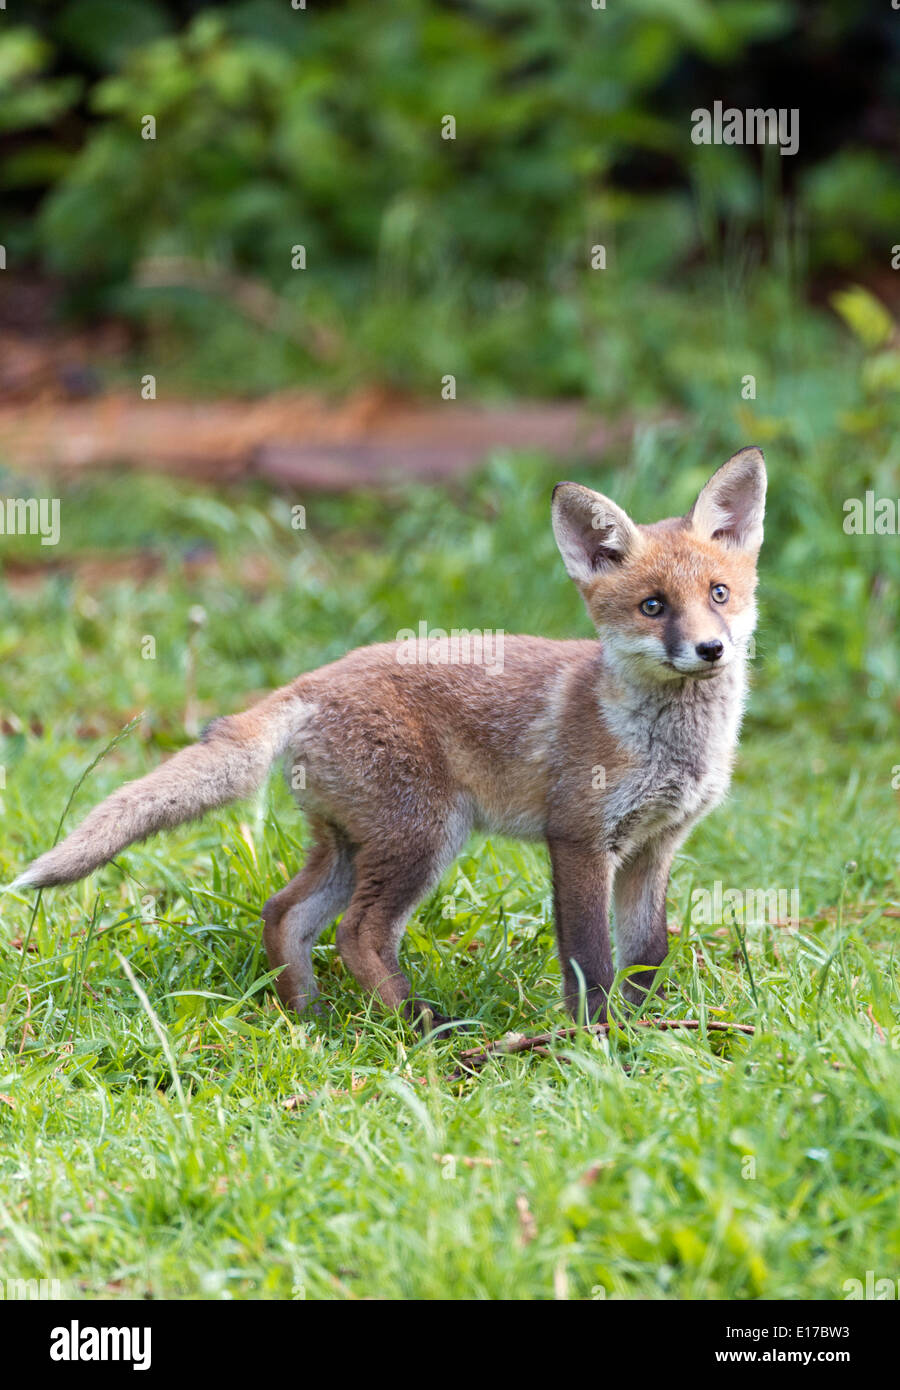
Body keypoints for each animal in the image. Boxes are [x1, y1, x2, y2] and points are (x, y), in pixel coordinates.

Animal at [11, 446, 766, 1028]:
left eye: (719, 594)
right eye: (652, 606)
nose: (709, 650)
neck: (666, 744)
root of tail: (316, 678)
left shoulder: (656, 844)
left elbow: (650, 952)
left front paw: (645, 1028)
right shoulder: (578, 838)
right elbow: (590, 960)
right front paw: (596, 1042)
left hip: (353, 842)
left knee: (284, 912)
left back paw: (308, 1019)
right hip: (424, 837)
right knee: (360, 933)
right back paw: (420, 1026)